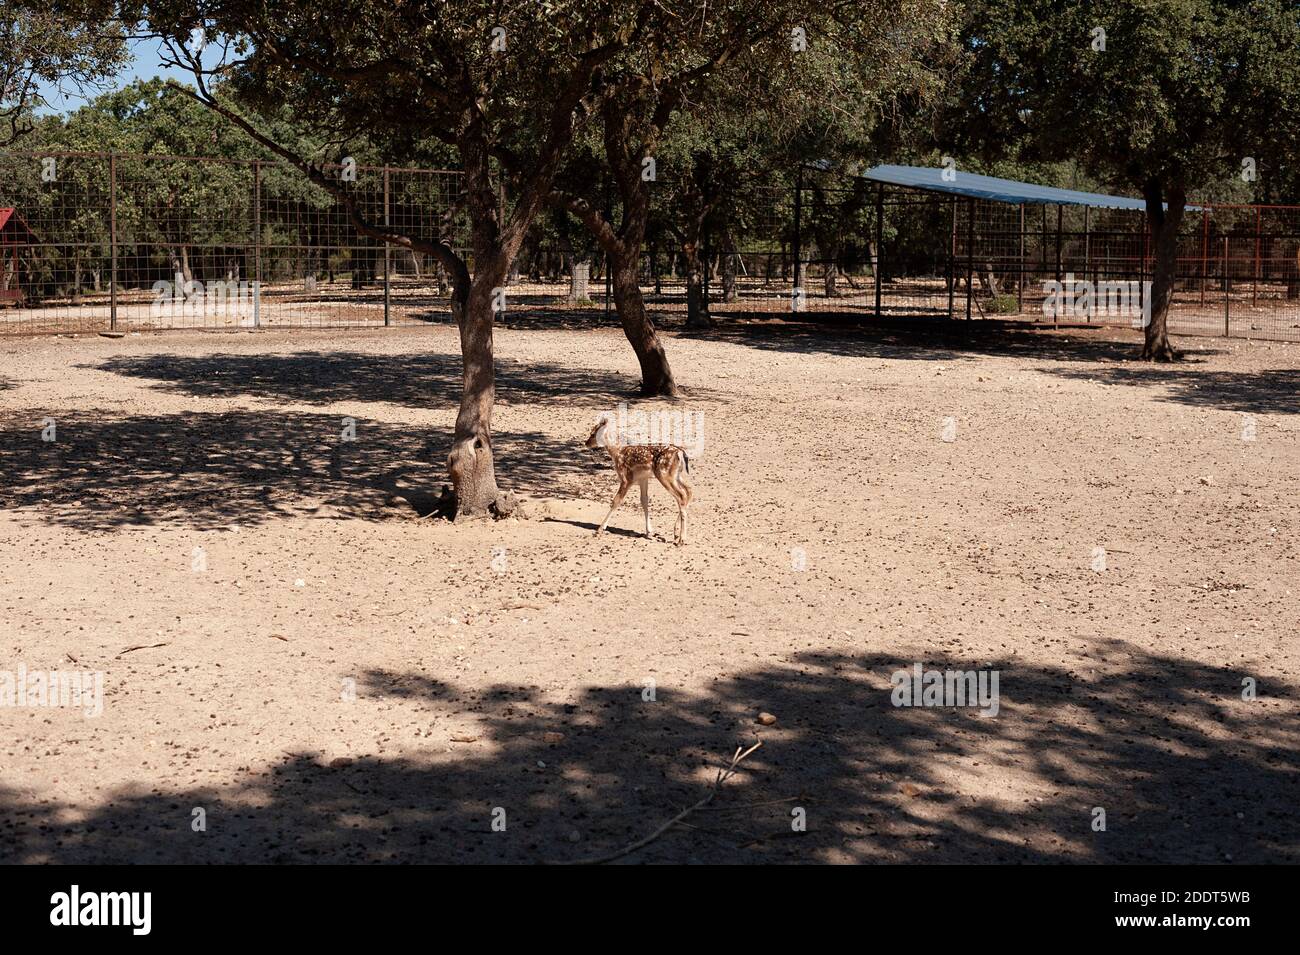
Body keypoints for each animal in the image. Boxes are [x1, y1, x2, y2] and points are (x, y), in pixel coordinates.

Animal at [584, 415, 693, 545]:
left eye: (593, 433)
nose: (586, 443)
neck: (617, 453)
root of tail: (681, 453)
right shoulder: (642, 479)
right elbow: (644, 501)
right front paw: (649, 532)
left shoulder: (626, 478)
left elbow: (616, 501)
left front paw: (600, 529)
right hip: (676, 475)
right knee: (688, 491)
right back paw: (676, 533)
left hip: (664, 474)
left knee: (681, 496)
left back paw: (681, 539)